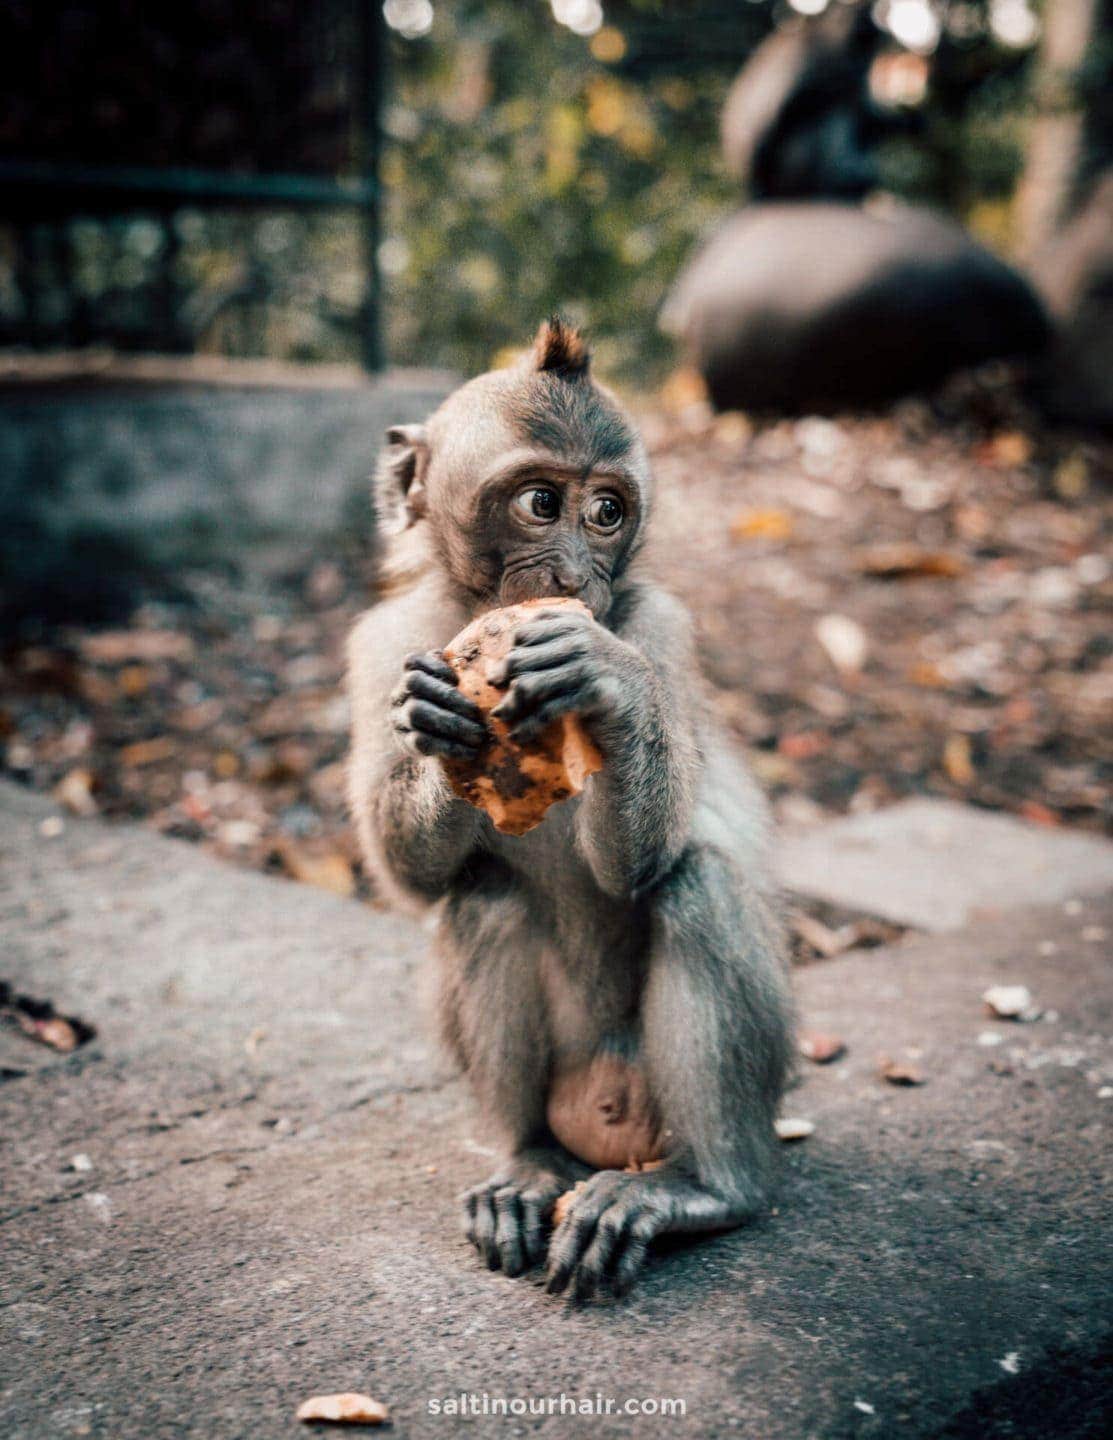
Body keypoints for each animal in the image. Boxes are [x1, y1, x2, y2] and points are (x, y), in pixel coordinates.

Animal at [347, 319, 793, 1300]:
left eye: (607, 513)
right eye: (540, 503)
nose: (575, 573)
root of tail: (601, 1106)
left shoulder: (660, 626)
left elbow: (638, 863)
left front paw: (608, 685)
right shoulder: (382, 644)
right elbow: (411, 881)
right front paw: (443, 735)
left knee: (696, 885)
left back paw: (704, 1189)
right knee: (480, 898)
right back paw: (526, 1164)